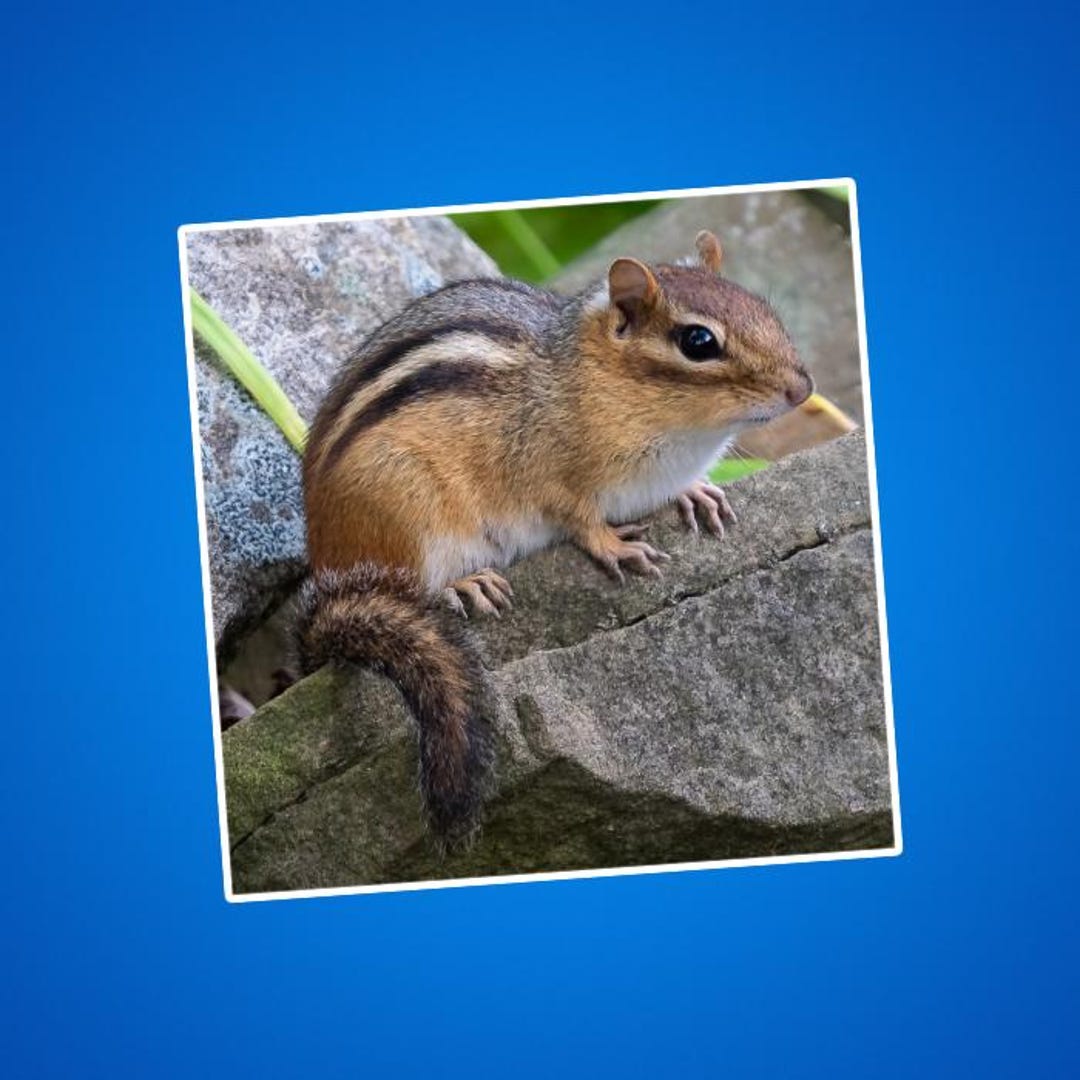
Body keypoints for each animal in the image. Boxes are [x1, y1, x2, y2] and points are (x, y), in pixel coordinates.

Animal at [294, 230, 813, 848]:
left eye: (762, 308)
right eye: (698, 341)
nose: (803, 388)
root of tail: (328, 566)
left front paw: (699, 493)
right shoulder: (546, 476)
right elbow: (579, 519)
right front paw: (616, 546)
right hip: (406, 510)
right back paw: (463, 584)